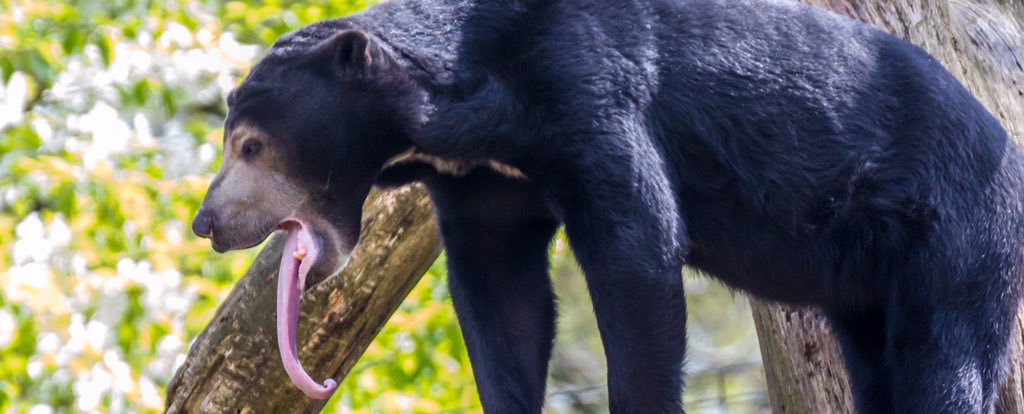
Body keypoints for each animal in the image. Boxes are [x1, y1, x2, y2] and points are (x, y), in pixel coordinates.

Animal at [190, 0, 1024, 412]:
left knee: (945, 363)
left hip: (956, 239)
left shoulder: (589, 94)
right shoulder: (486, 182)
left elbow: (638, 252)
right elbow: (500, 295)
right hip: (869, 280)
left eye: (251, 146)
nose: (208, 223)